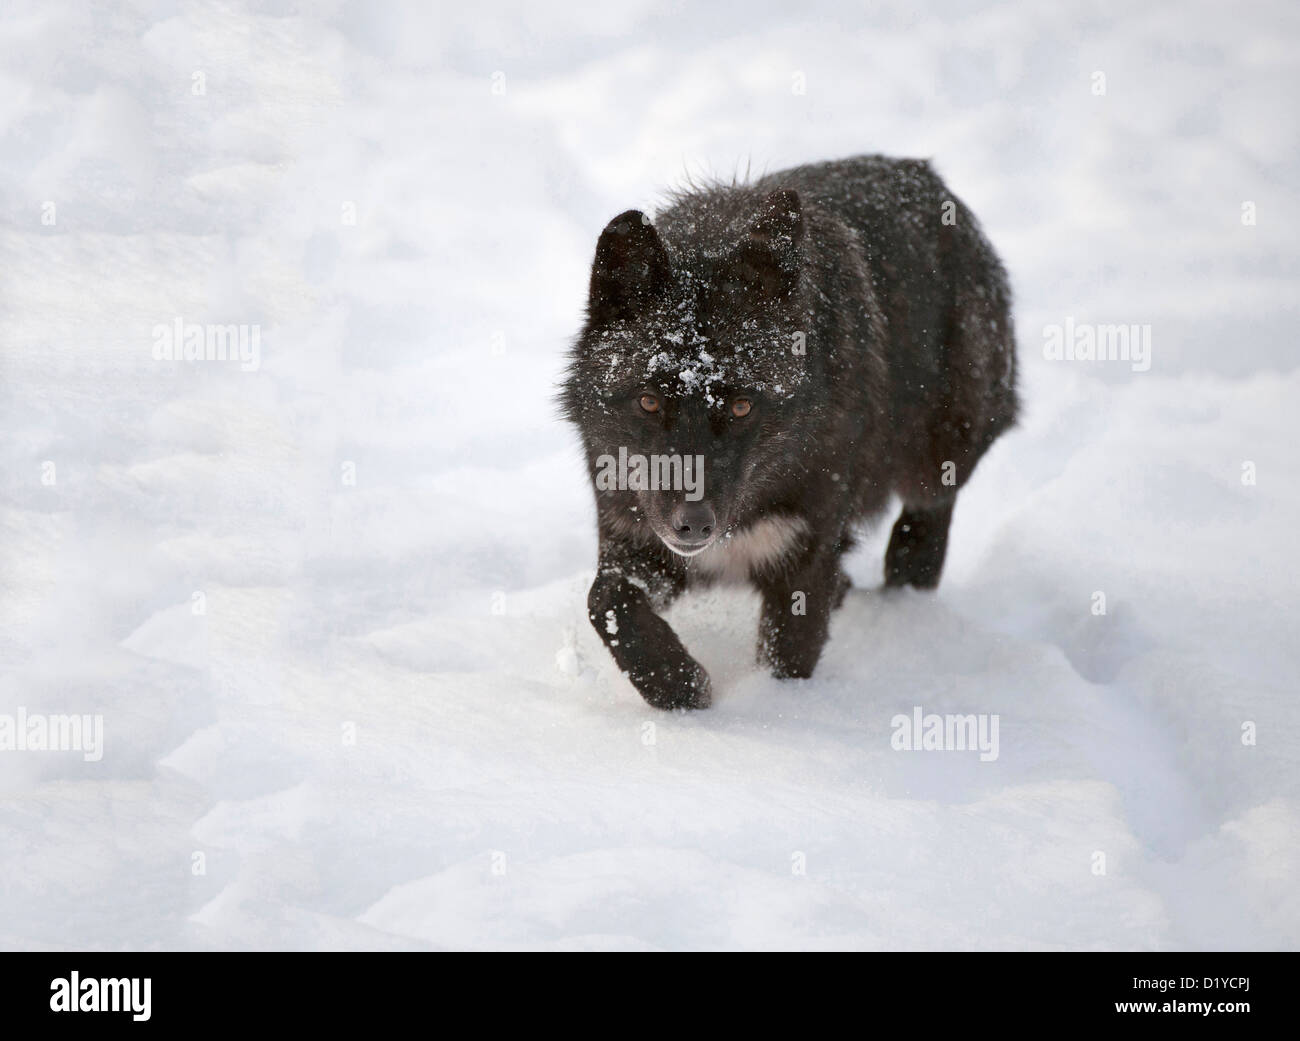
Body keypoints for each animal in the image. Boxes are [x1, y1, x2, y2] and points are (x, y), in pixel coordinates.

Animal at [562, 155, 1018, 710]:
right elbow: (606, 600)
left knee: (931, 508)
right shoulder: (636, 539)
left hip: (942, 450)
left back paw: (908, 585)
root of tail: (926, 174)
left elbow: (789, 660)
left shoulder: (803, 562)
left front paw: (782, 715)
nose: (693, 524)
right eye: (649, 401)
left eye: (742, 406)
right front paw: (677, 686)